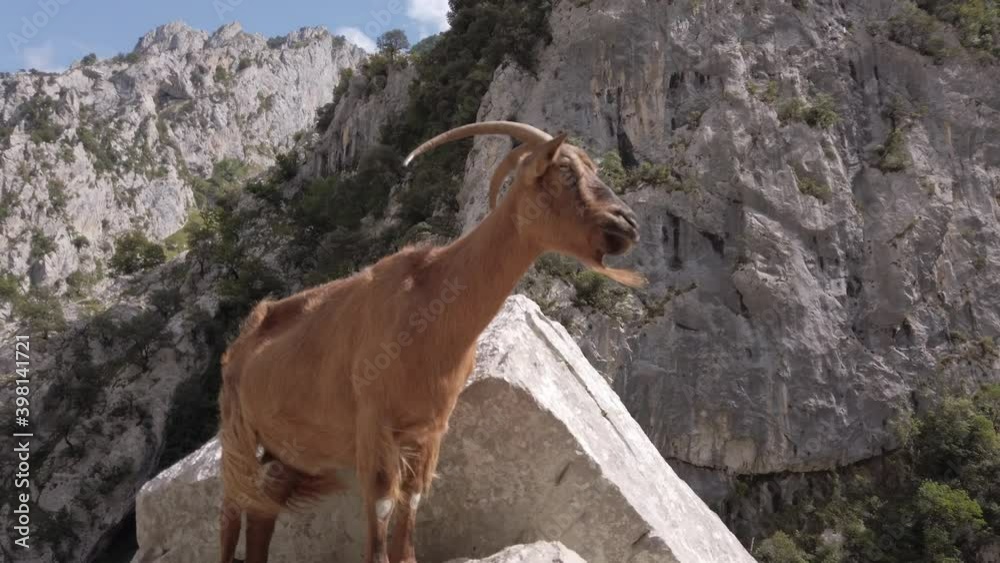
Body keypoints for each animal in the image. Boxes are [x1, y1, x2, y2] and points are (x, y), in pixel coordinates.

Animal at [218, 121, 644, 563]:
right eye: (565, 172)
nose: (628, 223)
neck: (431, 305)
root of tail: (242, 341)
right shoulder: (374, 423)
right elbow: (382, 508)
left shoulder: (430, 429)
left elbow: (412, 504)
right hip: (237, 434)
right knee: (231, 511)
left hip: (287, 451)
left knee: (263, 510)